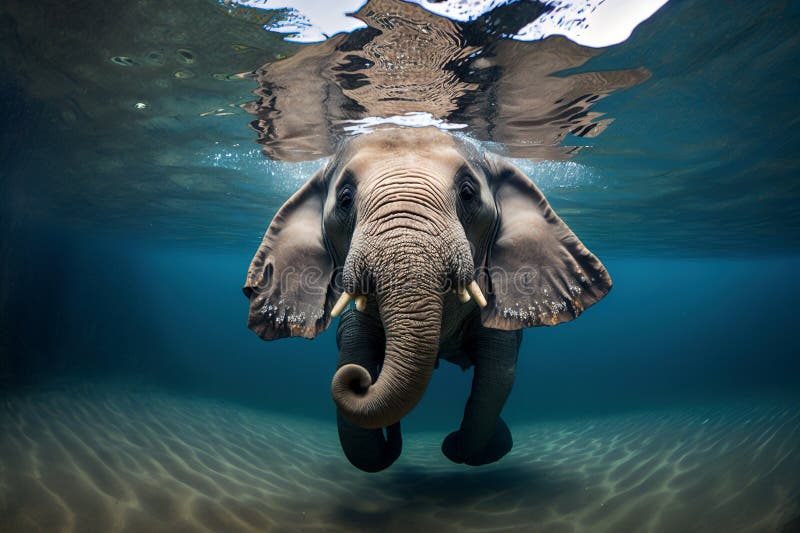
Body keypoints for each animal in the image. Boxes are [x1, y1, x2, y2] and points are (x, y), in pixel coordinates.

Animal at [243, 126, 612, 472]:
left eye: (467, 193)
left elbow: (496, 378)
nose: (362, 380)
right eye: (346, 198)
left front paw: (459, 447)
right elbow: (352, 348)